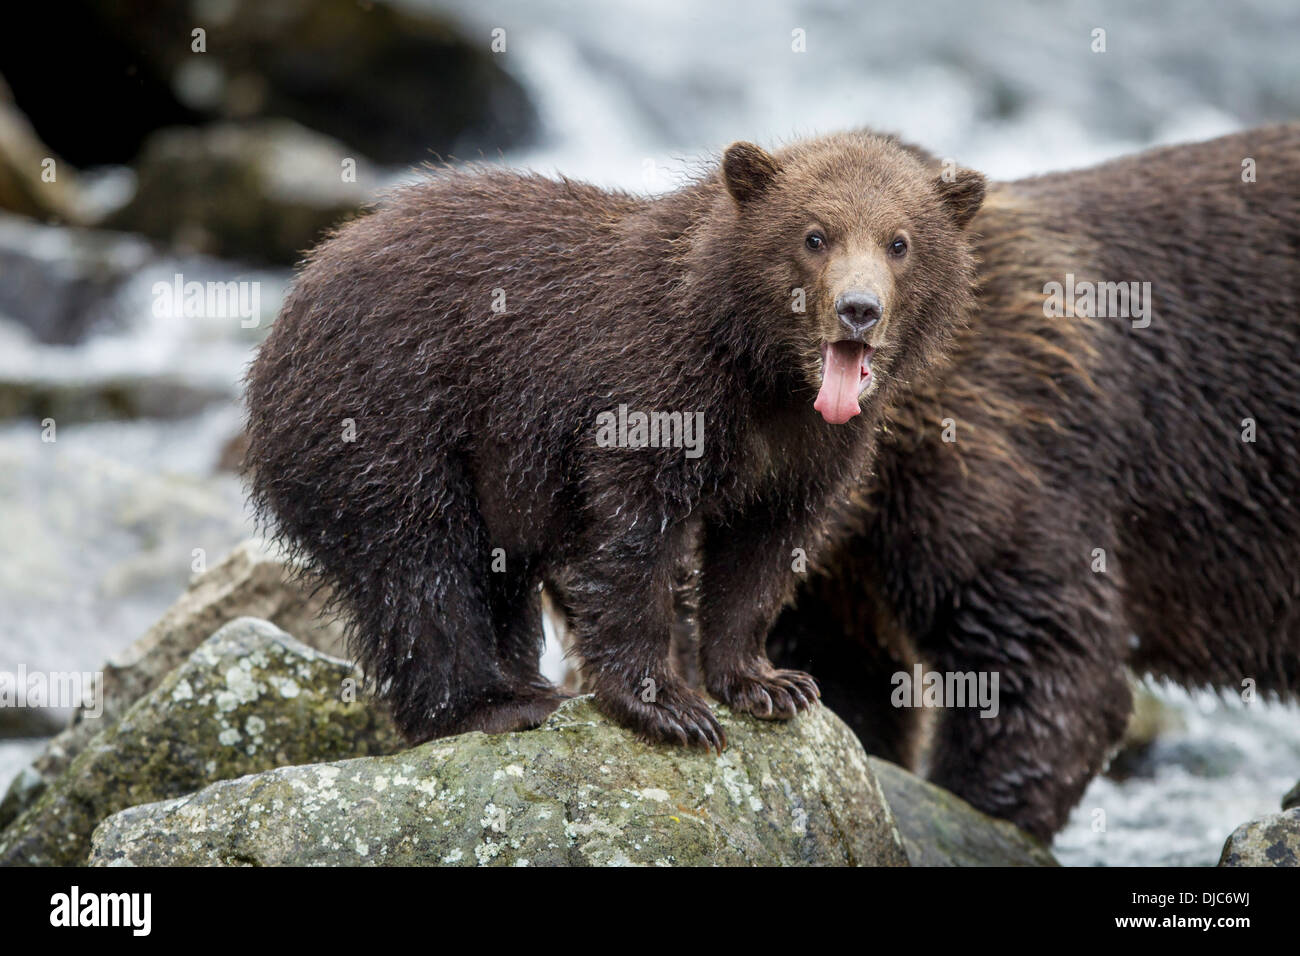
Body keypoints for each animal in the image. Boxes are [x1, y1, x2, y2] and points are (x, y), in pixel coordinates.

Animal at [242, 131, 987, 748]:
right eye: (814, 235)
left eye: (900, 242)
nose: (858, 310)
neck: (761, 373)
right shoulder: (651, 394)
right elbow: (632, 543)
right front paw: (669, 707)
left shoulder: (809, 452)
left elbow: (763, 553)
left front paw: (769, 682)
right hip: (386, 417)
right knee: (419, 563)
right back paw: (493, 703)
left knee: (492, 574)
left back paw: (522, 679)